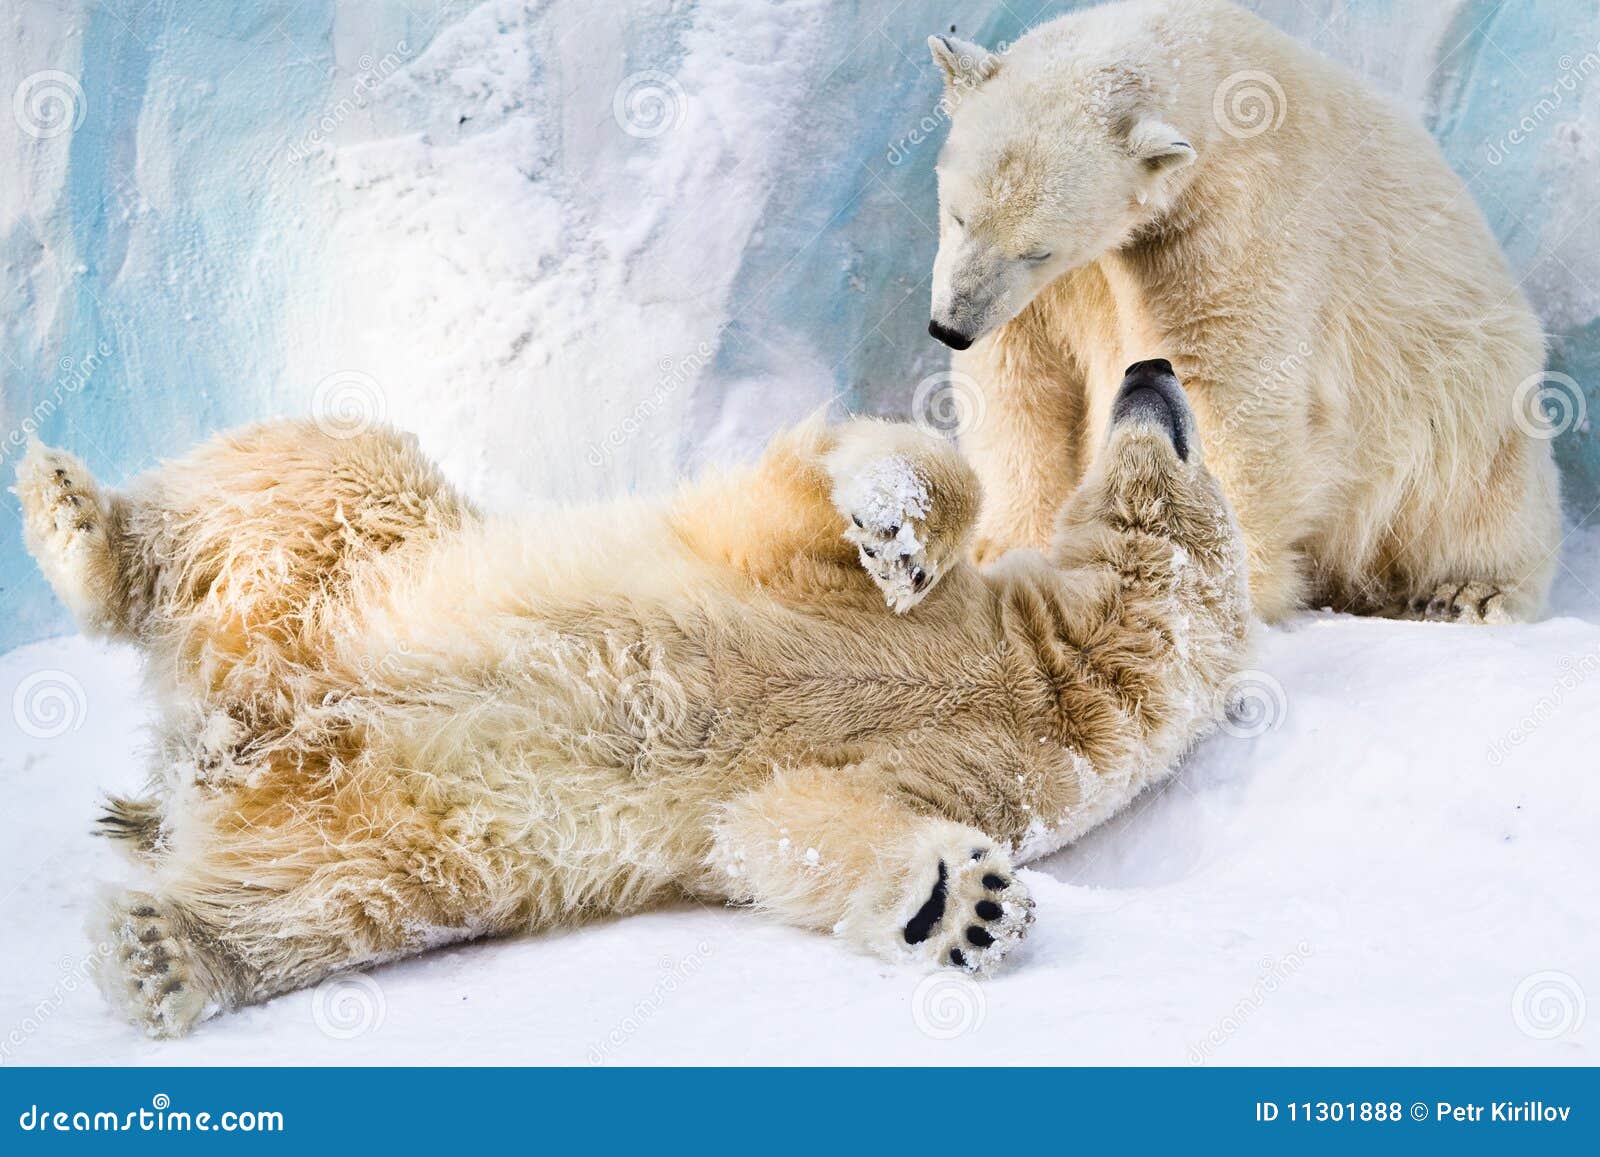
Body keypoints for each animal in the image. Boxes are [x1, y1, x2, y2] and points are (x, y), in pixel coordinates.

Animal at [16, 361, 1248, 1038]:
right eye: (1185, 427)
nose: (1150, 367)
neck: (1055, 667)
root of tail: (222, 724)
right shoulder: (821, 581)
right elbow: (827, 493)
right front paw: (898, 526)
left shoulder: (999, 769)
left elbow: (785, 823)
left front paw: (962, 903)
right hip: (353, 555)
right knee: (304, 468)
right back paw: (83, 524)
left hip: (398, 822)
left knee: (333, 899)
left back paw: (169, 949)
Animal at [924, 0, 1561, 624]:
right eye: (958, 214)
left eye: (1039, 249)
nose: (949, 327)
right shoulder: (1055, 290)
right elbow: (1021, 380)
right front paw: (1005, 552)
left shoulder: (1238, 218)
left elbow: (1228, 384)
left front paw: (1219, 580)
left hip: (1463, 388)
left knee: (1478, 491)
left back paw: (1464, 592)